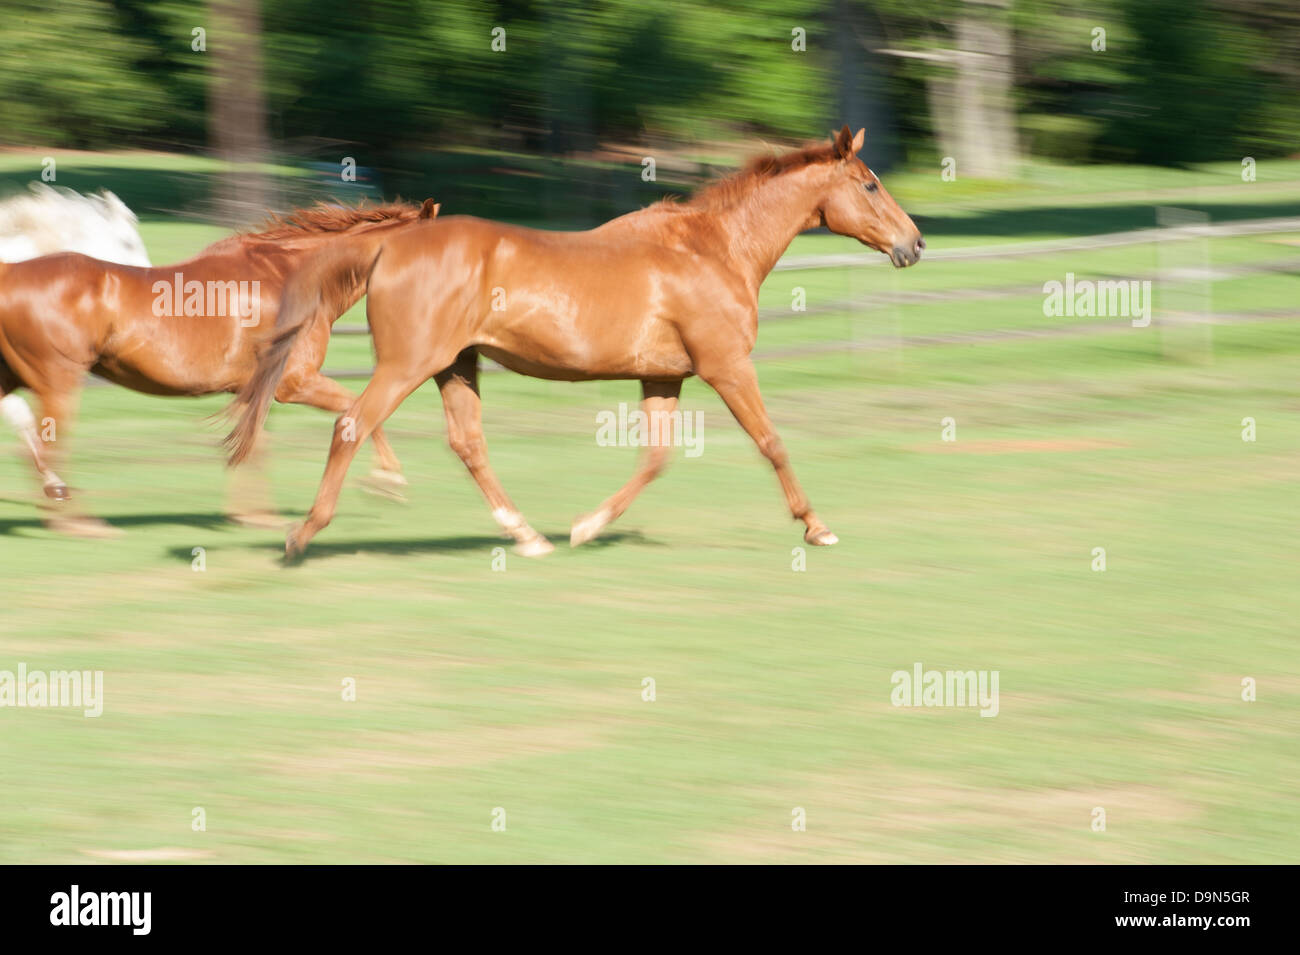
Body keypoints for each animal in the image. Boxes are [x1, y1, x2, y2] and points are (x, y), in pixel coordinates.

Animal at [226, 127, 923, 558]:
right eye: (869, 184)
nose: (914, 244)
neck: (713, 249)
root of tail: (389, 243)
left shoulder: (664, 376)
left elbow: (655, 458)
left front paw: (587, 527)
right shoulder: (727, 366)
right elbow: (772, 442)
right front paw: (818, 527)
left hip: (456, 367)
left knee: (468, 444)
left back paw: (528, 535)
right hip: (407, 366)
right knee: (352, 424)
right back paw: (302, 535)